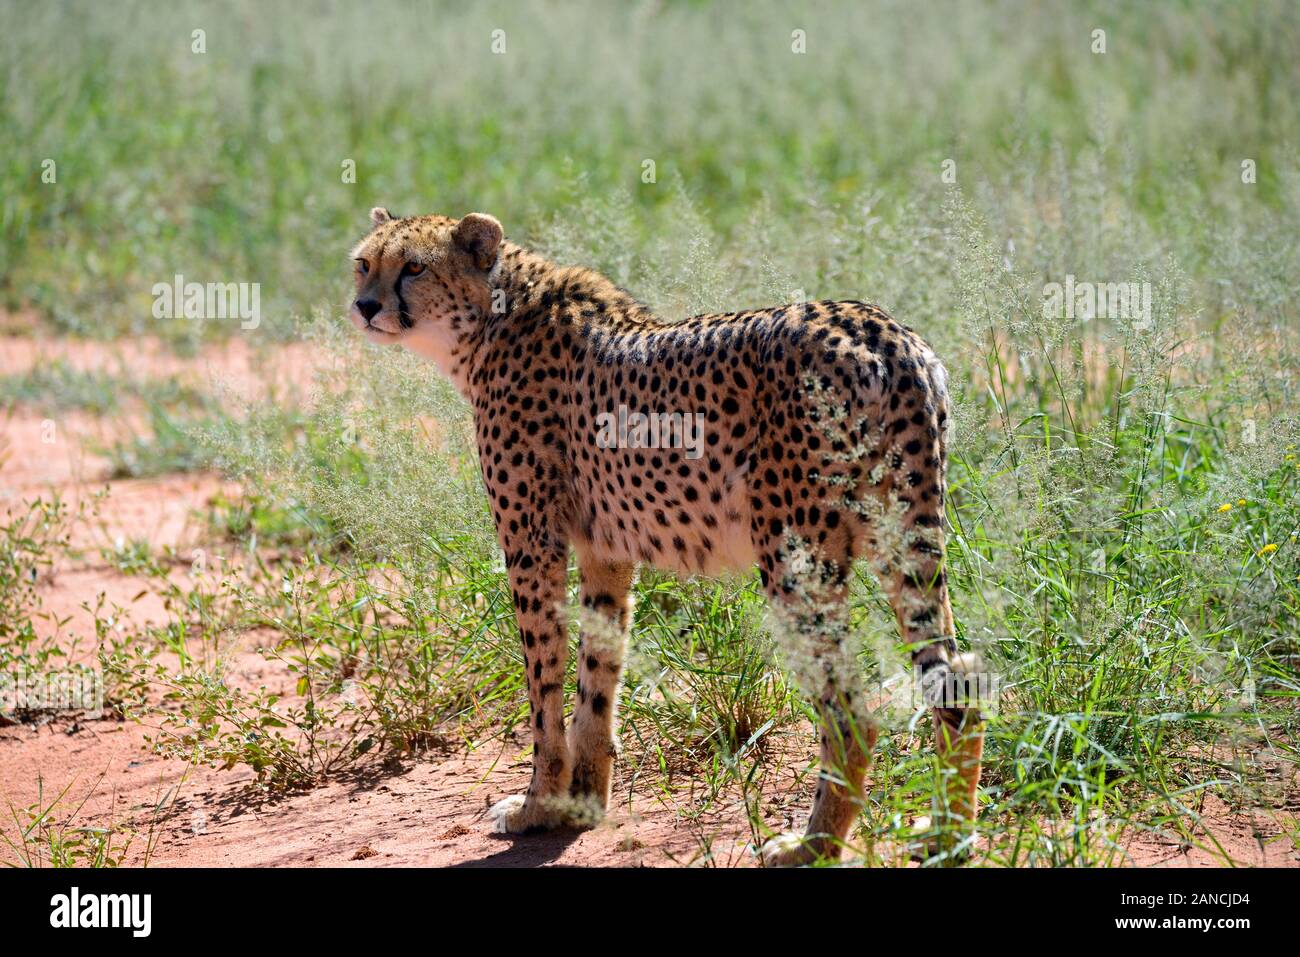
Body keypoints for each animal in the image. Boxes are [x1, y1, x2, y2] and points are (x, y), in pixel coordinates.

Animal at [348, 206, 984, 866]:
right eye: (364, 263)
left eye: (414, 267)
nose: (365, 305)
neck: (493, 318)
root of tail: (883, 331)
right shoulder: (604, 551)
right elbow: (597, 673)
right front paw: (582, 802)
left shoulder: (531, 544)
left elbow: (544, 683)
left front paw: (537, 805)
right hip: (902, 537)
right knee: (955, 683)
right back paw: (948, 835)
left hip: (795, 556)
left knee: (851, 713)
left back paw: (812, 846)